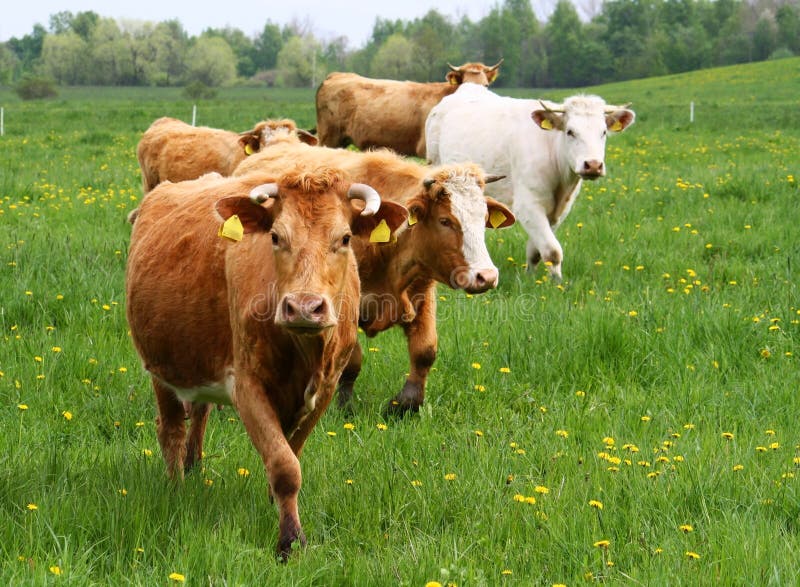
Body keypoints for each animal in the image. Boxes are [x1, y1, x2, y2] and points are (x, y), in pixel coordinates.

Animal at [125, 167, 407, 558]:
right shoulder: (247, 386)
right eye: (275, 236)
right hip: (162, 369)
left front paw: (275, 505)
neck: (304, 352)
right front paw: (290, 541)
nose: (304, 307)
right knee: (171, 430)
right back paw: (177, 487)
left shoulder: (327, 386)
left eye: (346, 238)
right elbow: (285, 465)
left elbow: (291, 452)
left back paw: (194, 467)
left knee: (199, 413)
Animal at [234, 142, 515, 414]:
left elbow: (425, 351)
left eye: (483, 219)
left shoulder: (423, 296)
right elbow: (352, 361)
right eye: (445, 220)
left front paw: (406, 403)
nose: (486, 276)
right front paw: (345, 405)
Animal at [426, 86, 635, 281]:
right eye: (570, 132)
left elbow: (537, 250)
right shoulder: (528, 204)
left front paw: (532, 277)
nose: (593, 165)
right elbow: (553, 250)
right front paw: (557, 283)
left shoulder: (558, 211)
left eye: (603, 132)